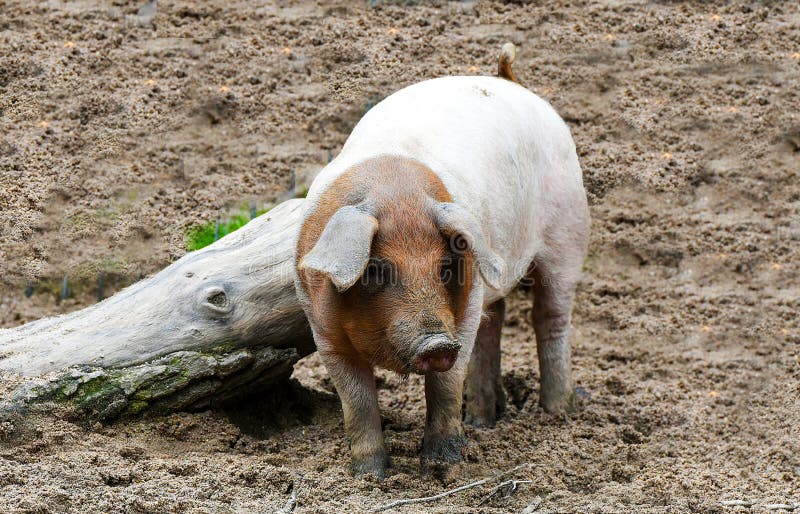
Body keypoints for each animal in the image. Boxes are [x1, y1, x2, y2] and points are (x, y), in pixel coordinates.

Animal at [294, 43, 590, 478]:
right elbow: (358, 404)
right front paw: (370, 476)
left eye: (445, 266)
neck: (394, 190)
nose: (436, 343)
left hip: (567, 233)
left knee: (550, 318)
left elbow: (445, 386)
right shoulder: (324, 333)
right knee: (493, 324)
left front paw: (441, 466)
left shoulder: (460, 318)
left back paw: (556, 414)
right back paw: (483, 421)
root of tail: (509, 79)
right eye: (376, 269)